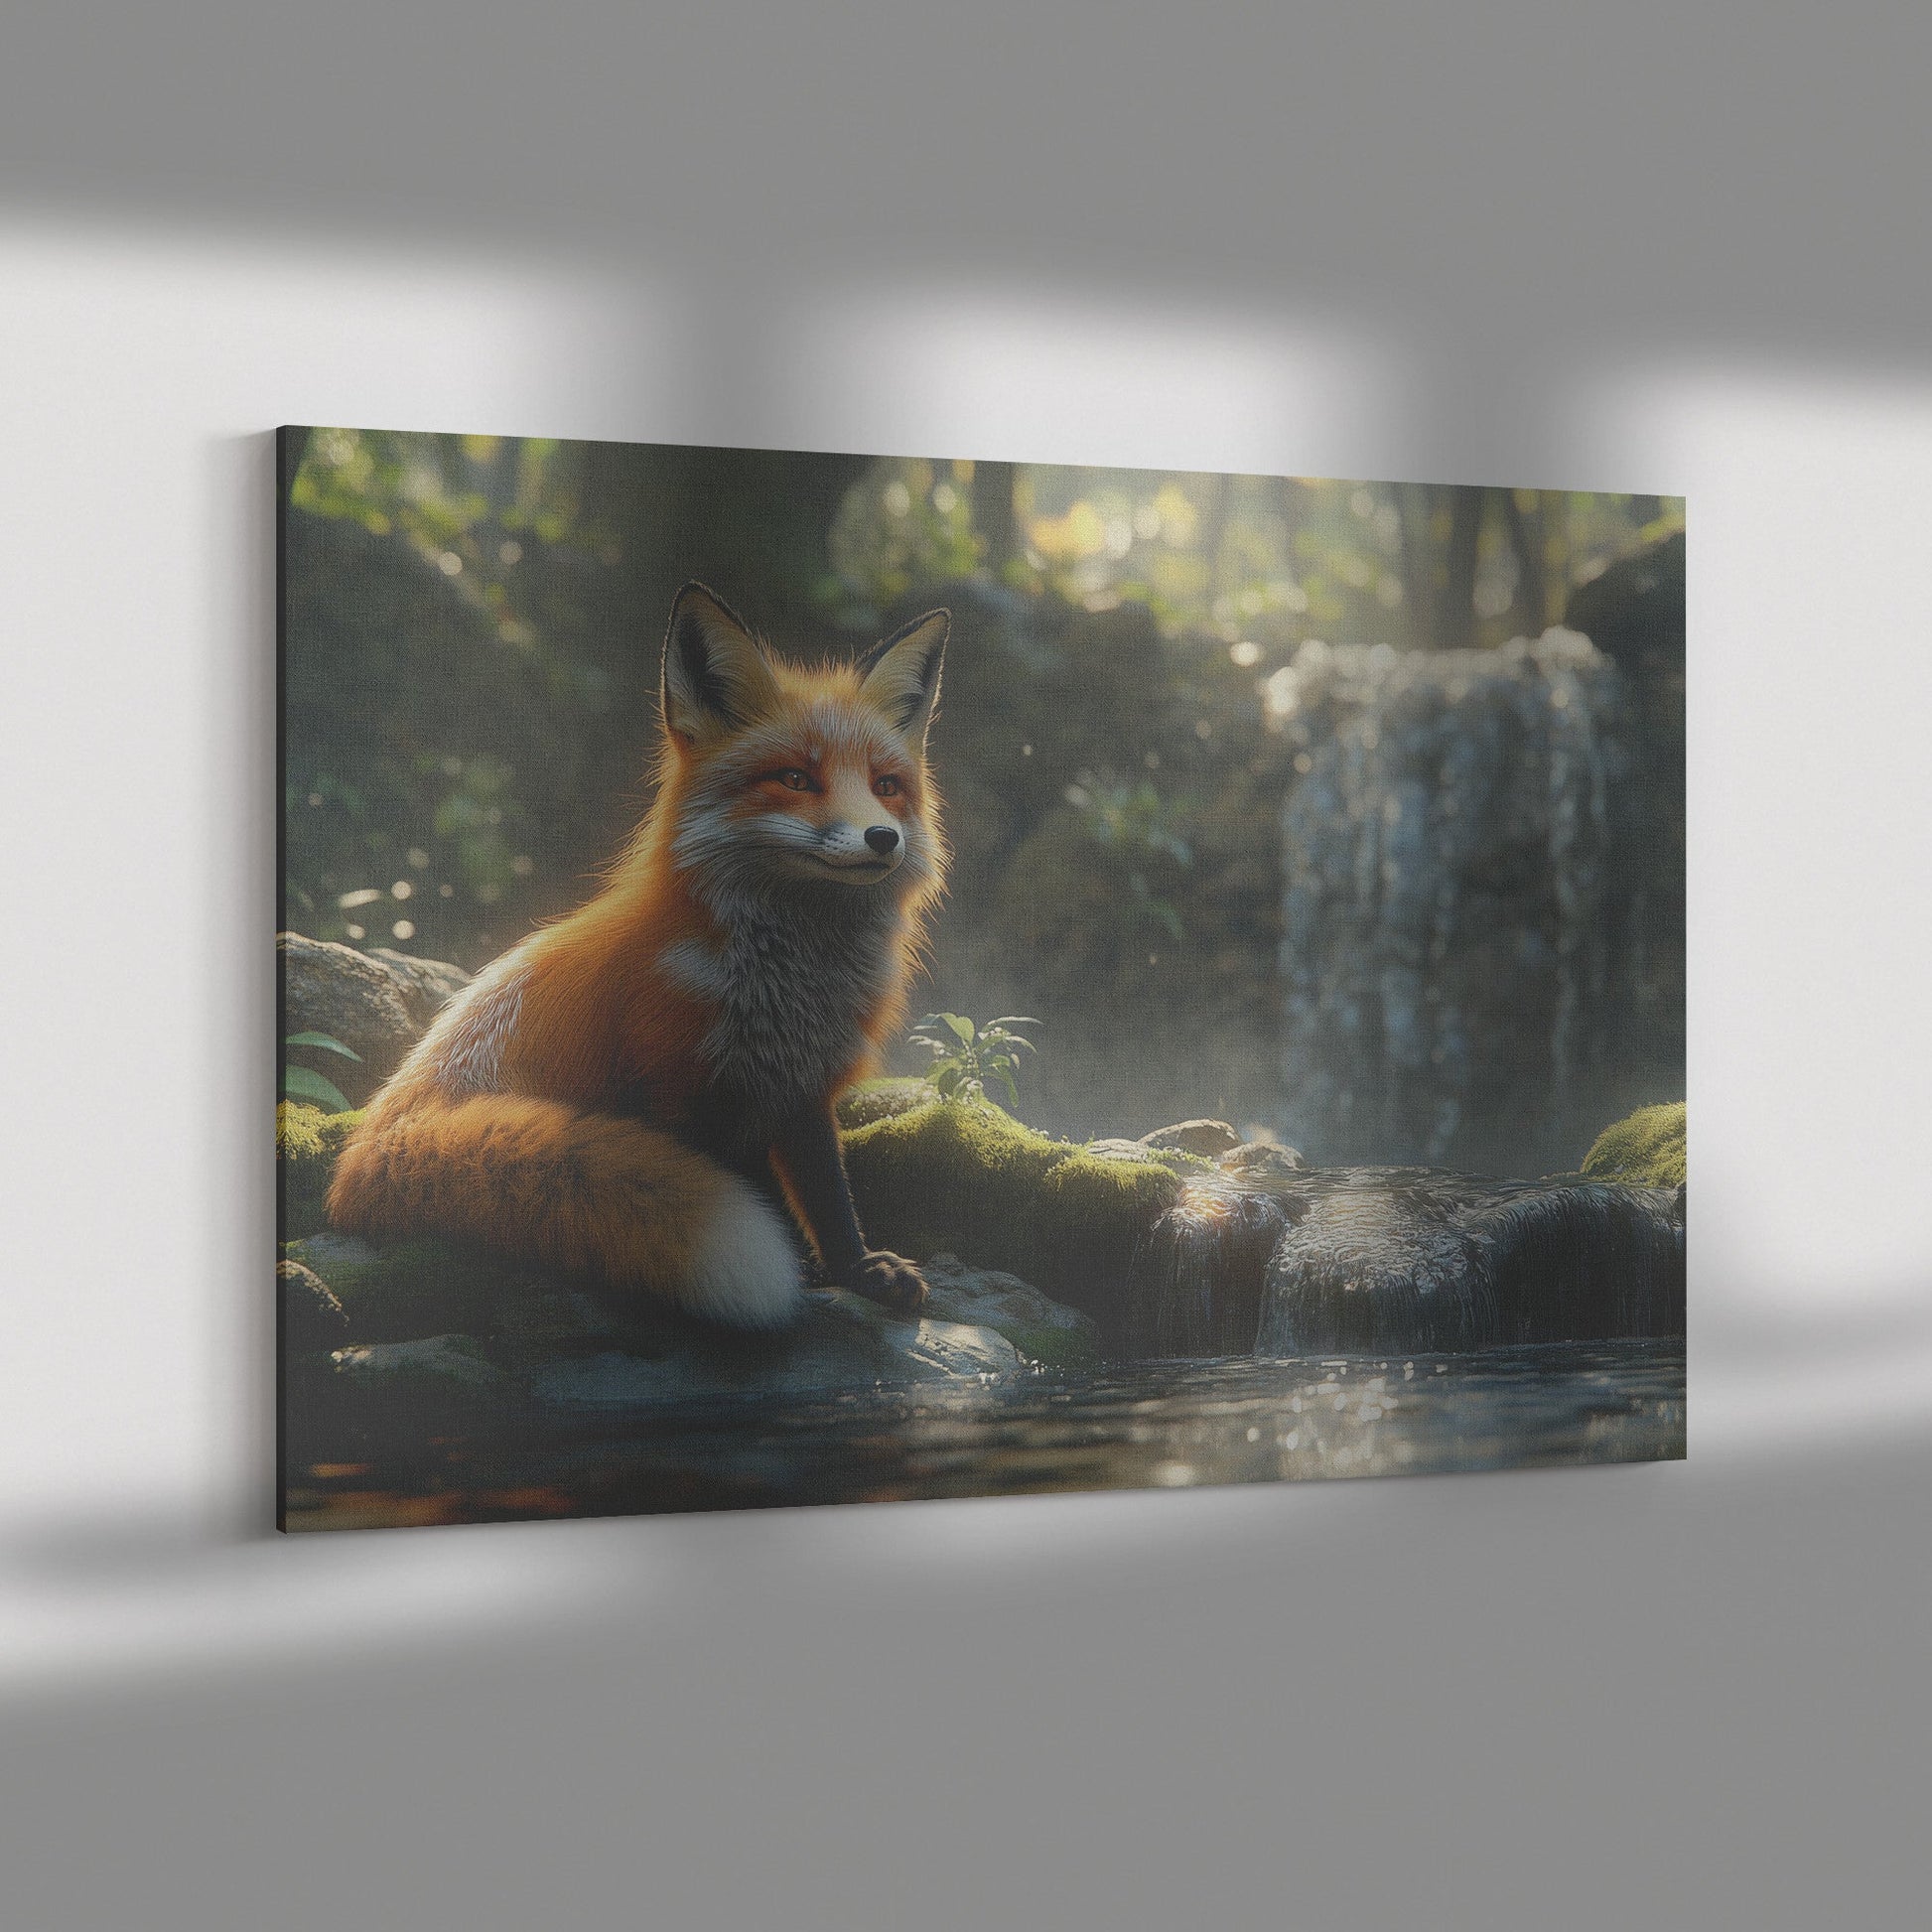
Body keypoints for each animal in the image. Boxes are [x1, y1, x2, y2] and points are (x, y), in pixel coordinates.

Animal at [326, 582, 951, 1327]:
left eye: (887, 785)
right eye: (797, 779)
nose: (883, 838)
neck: (781, 979)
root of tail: (367, 1146)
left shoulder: (801, 1083)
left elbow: (830, 1197)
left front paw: (858, 1271)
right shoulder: (675, 1089)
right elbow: (739, 1185)